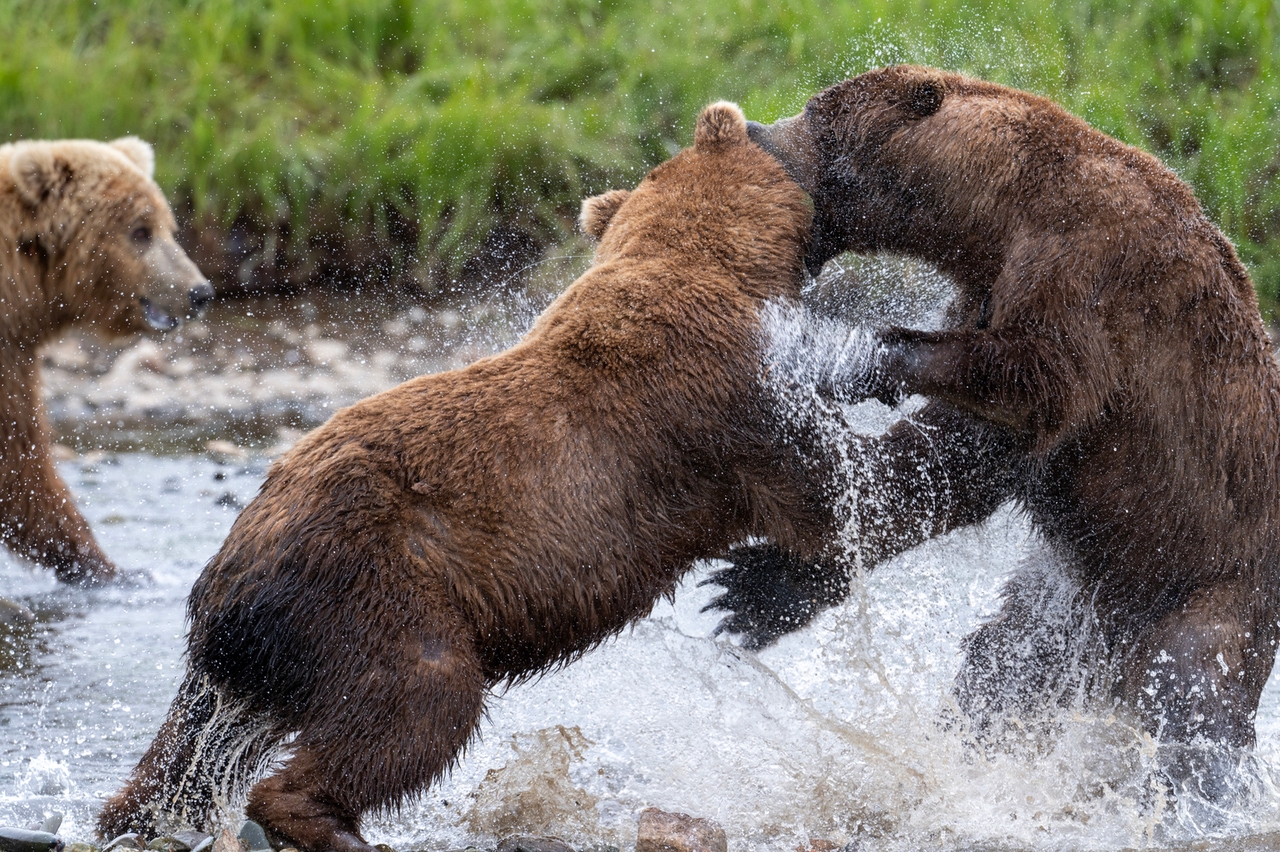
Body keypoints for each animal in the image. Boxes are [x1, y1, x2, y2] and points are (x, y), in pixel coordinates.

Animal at [96, 102, 821, 852]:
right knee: (419, 703)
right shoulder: (712, 403)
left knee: (183, 759)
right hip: (373, 587)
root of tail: (227, 581)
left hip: (248, 662)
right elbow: (804, 486)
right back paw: (331, 823)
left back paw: (143, 817)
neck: (713, 266)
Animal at [705, 65, 1280, 788]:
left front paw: (837, 353)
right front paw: (754, 587)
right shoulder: (986, 292)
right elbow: (954, 457)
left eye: (817, 110)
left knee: (1188, 698)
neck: (998, 217)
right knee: (1002, 668)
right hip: (1070, 602)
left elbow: (1035, 381)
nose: (755, 131)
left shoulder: (1088, 271)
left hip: (1215, 585)